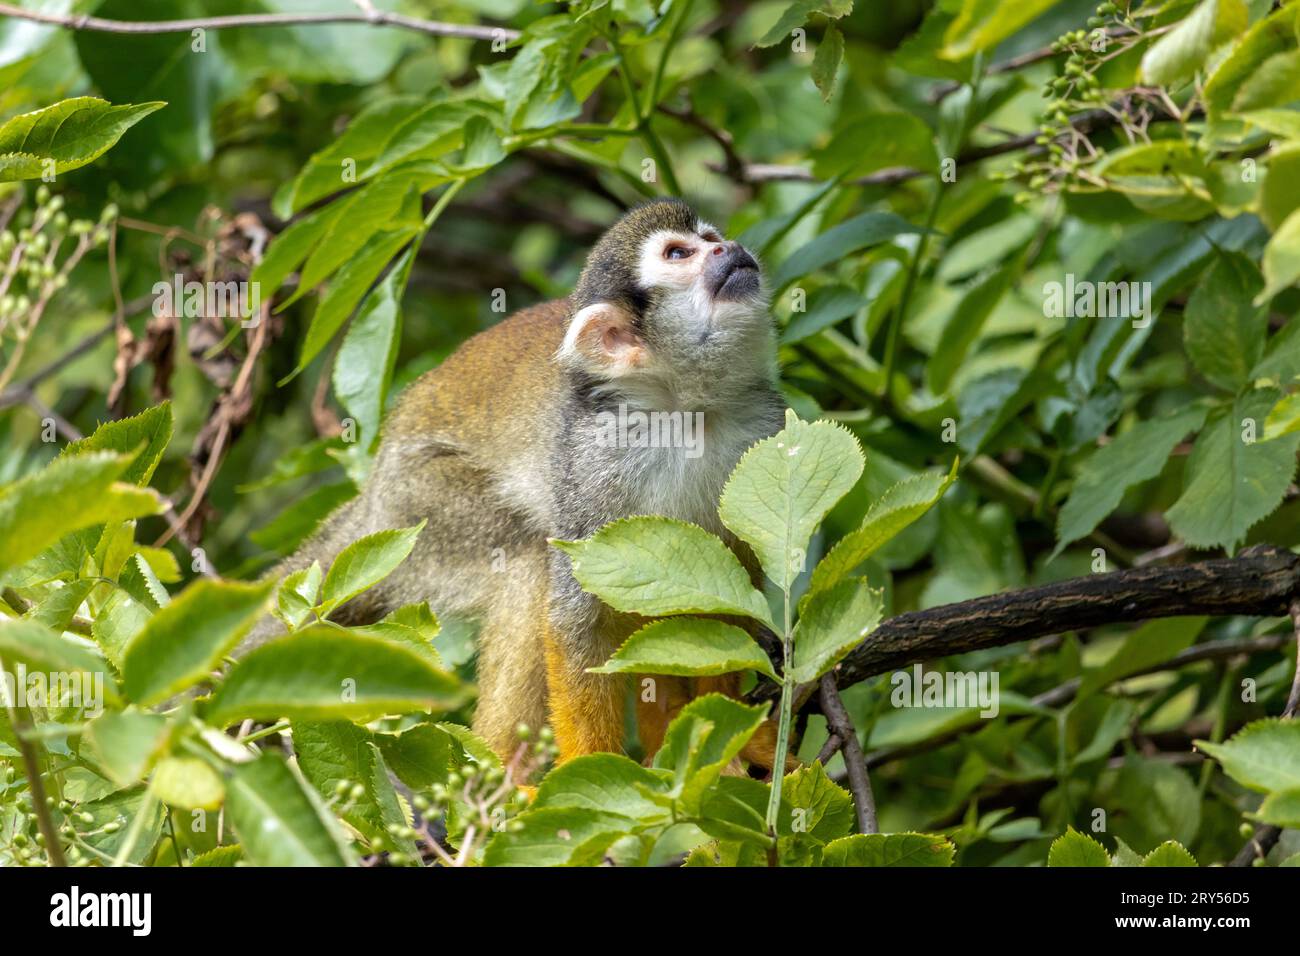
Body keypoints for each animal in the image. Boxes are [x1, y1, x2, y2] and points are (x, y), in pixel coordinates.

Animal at [252, 198, 788, 769]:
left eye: (708, 237)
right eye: (678, 254)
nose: (728, 248)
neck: (687, 411)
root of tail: (374, 495)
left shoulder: (764, 431)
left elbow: (719, 588)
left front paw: (726, 728)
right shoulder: (593, 461)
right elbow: (578, 613)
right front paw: (586, 771)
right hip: (422, 508)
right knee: (527, 556)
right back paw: (506, 769)